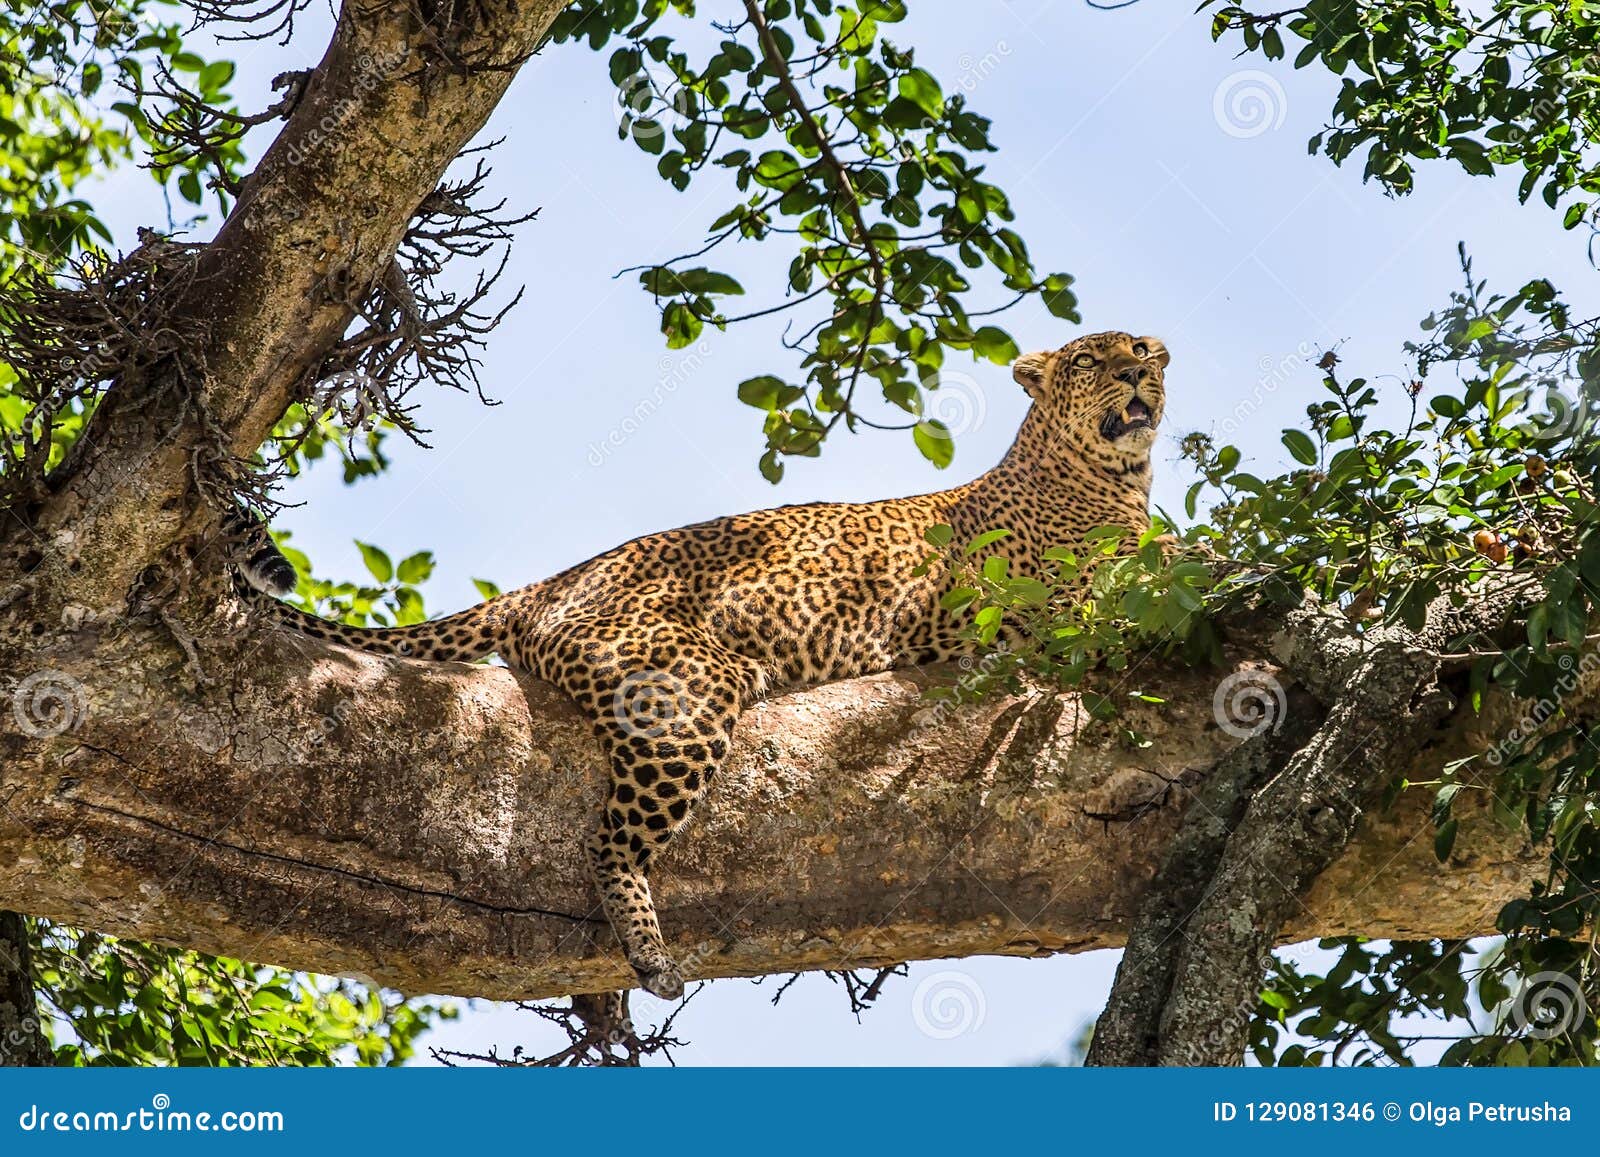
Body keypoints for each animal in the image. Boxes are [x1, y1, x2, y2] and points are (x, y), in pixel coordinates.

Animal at [238, 330, 1169, 999]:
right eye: (1090, 359)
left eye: (1144, 351)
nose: (1139, 374)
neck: (1117, 478)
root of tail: (559, 577)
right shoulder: (1058, 604)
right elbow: (1160, 571)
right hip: (687, 689)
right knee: (609, 843)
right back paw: (650, 954)